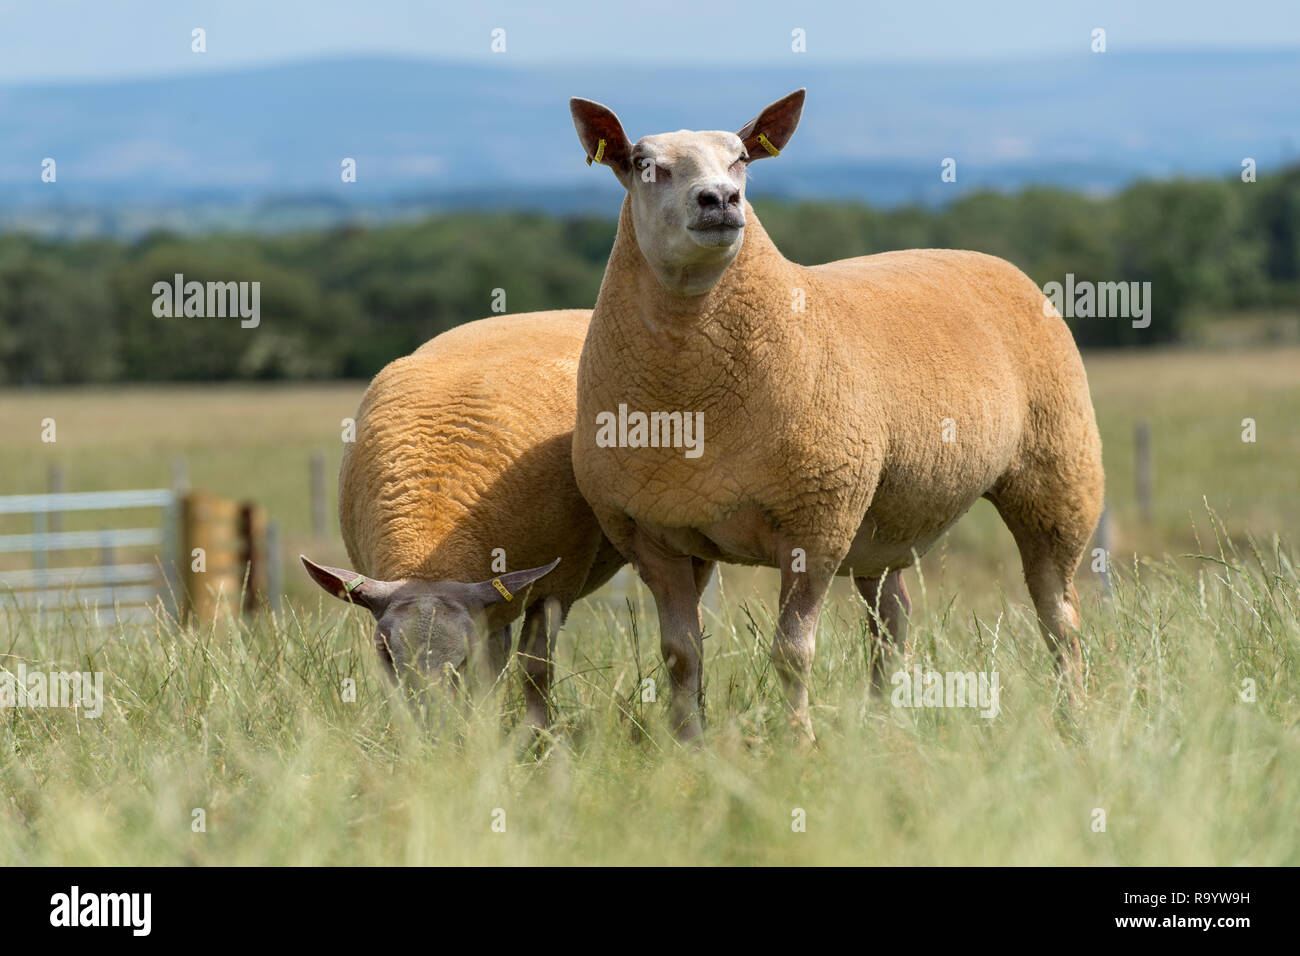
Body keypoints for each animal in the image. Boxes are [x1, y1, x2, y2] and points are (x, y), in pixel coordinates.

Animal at [301, 309, 625, 729]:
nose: (429, 731)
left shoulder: (558, 584)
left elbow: (534, 669)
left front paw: (537, 734)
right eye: (386, 655)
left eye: (463, 657)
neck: (431, 559)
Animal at [569, 90, 1105, 742]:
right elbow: (680, 655)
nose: (720, 200)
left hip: (1058, 474)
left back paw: (1074, 714)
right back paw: (883, 724)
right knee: (893, 620)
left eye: (742, 159)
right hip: (884, 515)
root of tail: (991, 259)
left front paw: (799, 742)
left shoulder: (817, 520)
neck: (694, 406)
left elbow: (791, 653)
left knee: (1058, 613)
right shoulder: (652, 536)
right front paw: (687, 747)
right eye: (645, 164)